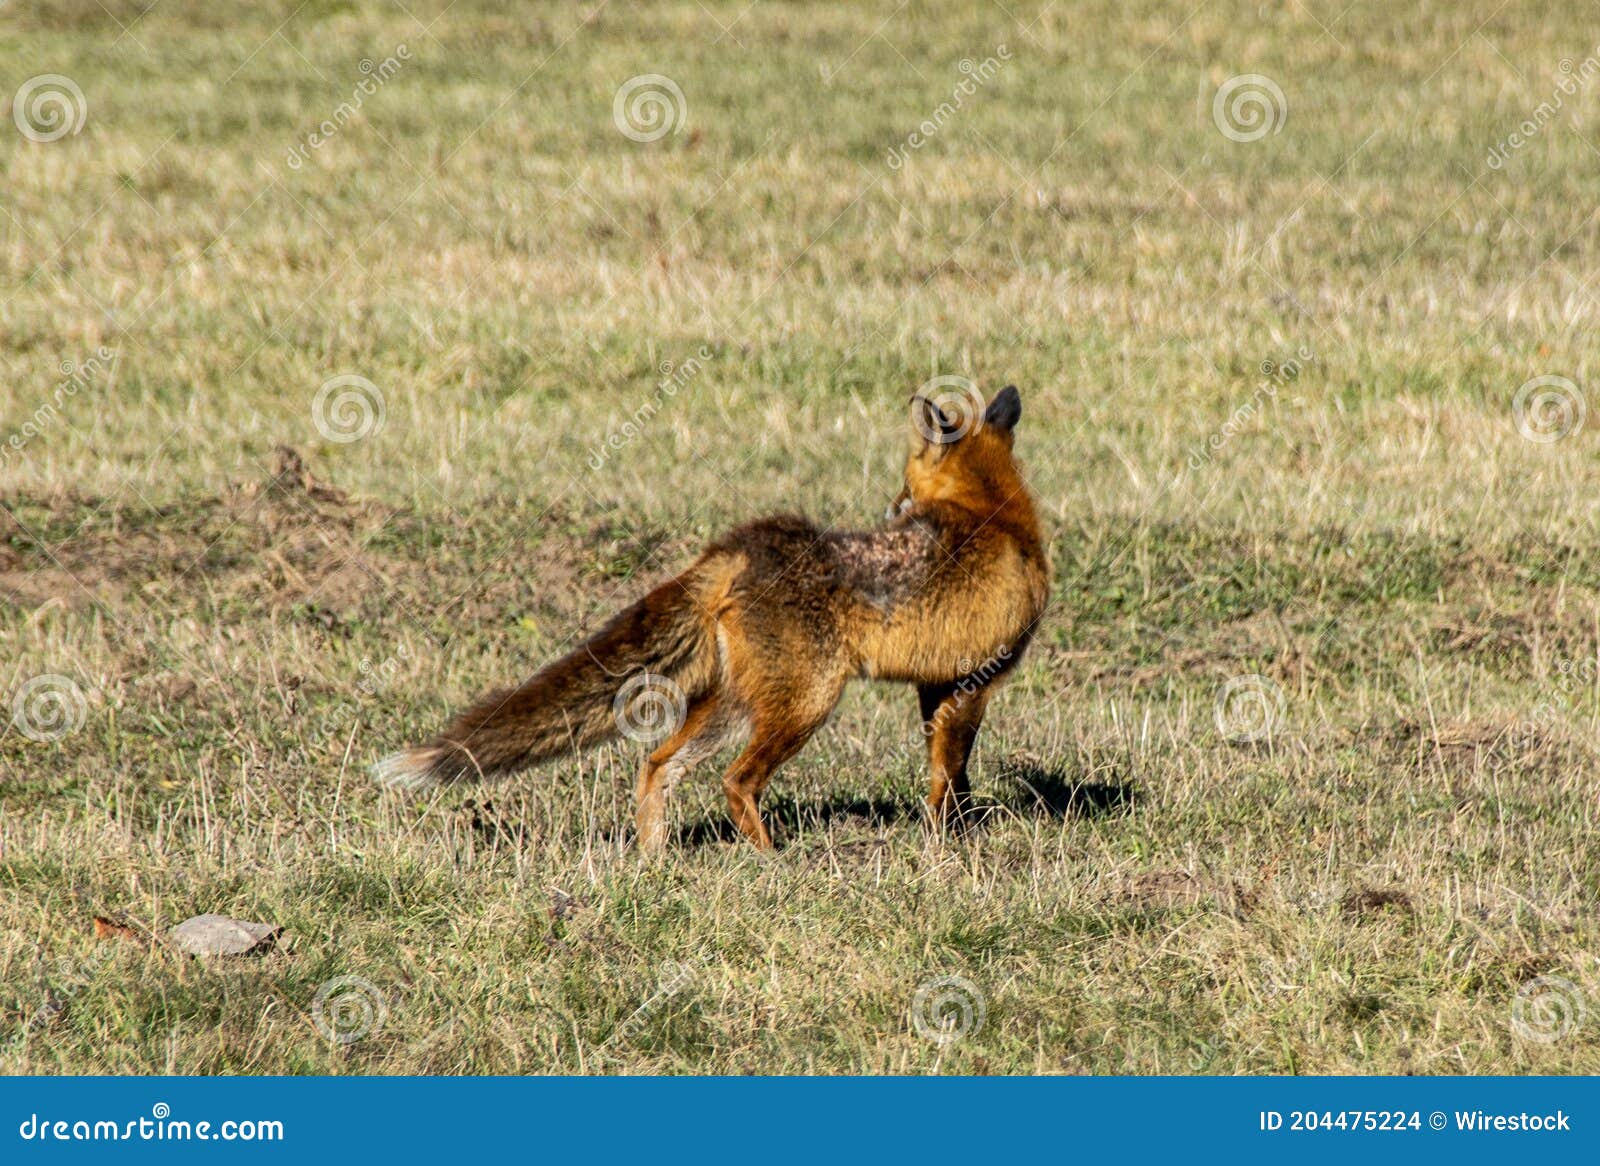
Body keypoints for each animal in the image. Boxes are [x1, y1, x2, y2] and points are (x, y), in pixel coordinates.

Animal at [372, 384, 1050, 851]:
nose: (893, 503)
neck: (997, 513)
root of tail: (741, 544)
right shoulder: (973, 683)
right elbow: (950, 778)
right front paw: (949, 845)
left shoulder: (937, 685)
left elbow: (946, 774)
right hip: (804, 704)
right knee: (736, 781)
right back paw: (773, 862)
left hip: (734, 705)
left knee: (657, 763)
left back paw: (652, 861)